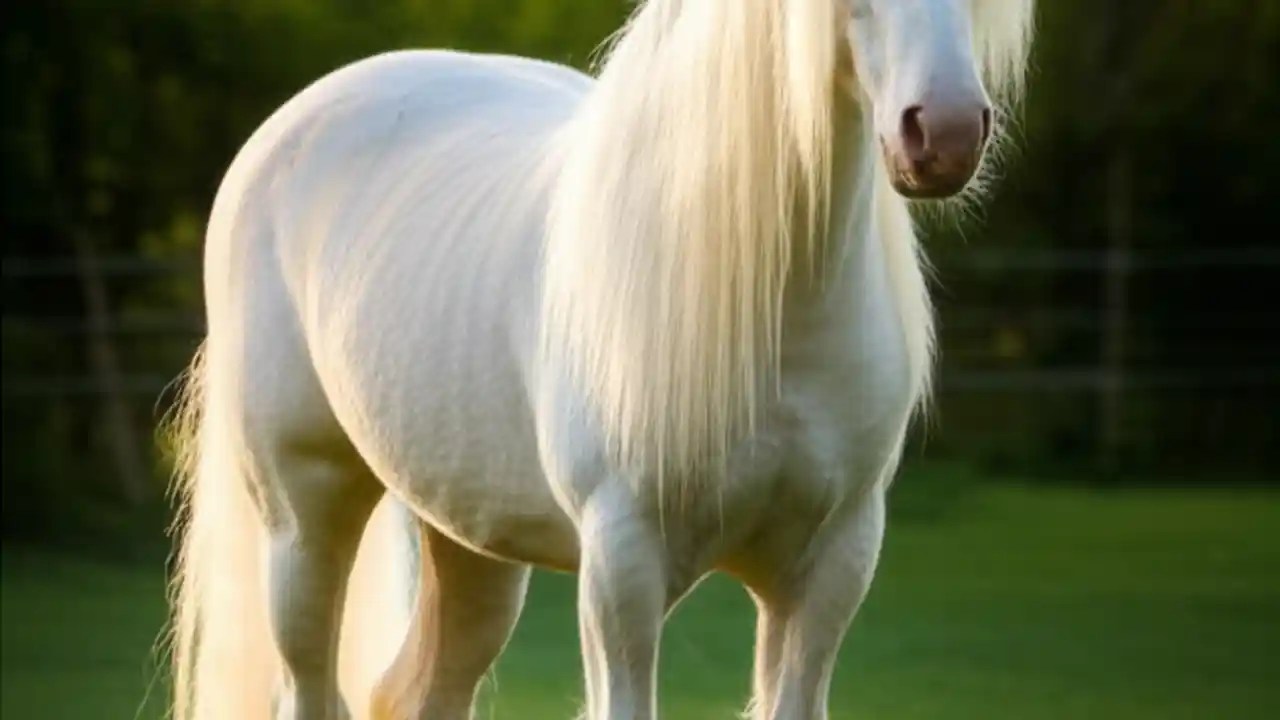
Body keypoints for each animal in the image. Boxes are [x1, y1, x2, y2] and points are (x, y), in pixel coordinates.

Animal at [165, 1, 1035, 718]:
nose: (945, 135)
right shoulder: (623, 564)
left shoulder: (832, 565)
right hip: (302, 519)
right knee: (309, 685)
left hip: (470, 542)